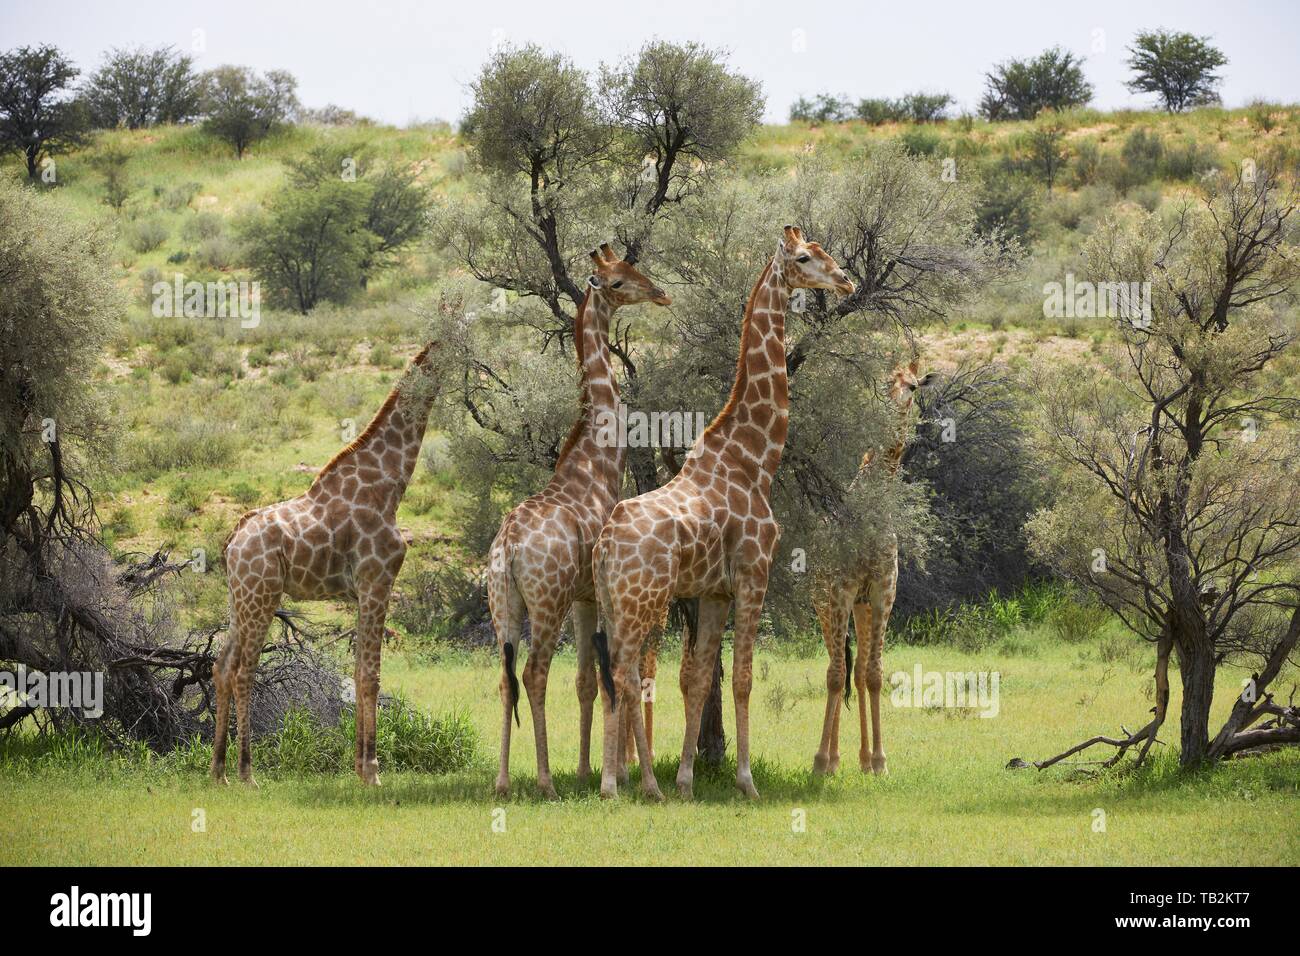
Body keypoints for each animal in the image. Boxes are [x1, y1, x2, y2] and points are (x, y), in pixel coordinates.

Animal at [212, 342, 441, 787]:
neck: (389, 486)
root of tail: (233, 539)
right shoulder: (378, 582)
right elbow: (371, 676)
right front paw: (373, 772)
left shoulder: (362, 591)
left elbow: (358, 671)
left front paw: (358, 768)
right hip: (262, 596)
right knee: (244, 671)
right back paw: (247, 773)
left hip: (239, 599)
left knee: (221, 667)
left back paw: (218, 772)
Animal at [488, 245, 670, 799]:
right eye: (616, 282)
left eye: (632, 268)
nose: (661, 293)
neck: (595, 454)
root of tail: (509, 547)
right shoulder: (594, 594)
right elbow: (613, 677)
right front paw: (620, 775)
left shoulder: (586, 596)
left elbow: (589, 682)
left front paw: (592, 771)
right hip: (545, 603)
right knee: (533, 674)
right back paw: (545, 781)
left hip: (502, 604)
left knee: (505, 678)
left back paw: (502, 781)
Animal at [592, 226, 854, 800]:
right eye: (806, 258)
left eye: (825, 251)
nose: (845, 280)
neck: (755, 458)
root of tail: (604, 545)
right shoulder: (755, 574)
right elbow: (742, 677)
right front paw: (747, 781)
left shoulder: (713, 590)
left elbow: (697, 678)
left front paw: (689, 779)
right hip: (642, 602)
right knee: (625, 676)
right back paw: (629, 785)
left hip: (614, 604)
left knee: (615, 673)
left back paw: (623, 782)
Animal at [812, 358, 936, 776]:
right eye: (884, 384)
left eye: (913, 386)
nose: (891, 411)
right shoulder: (841, 591)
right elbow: (835, 677)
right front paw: (821, 762)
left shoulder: (883, 592)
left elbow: (875, 675)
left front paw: (880, 760)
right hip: (823, 603)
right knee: (834, 666)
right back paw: (833, 759)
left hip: (862, 608)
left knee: (860, 672)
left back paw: (862, 758)